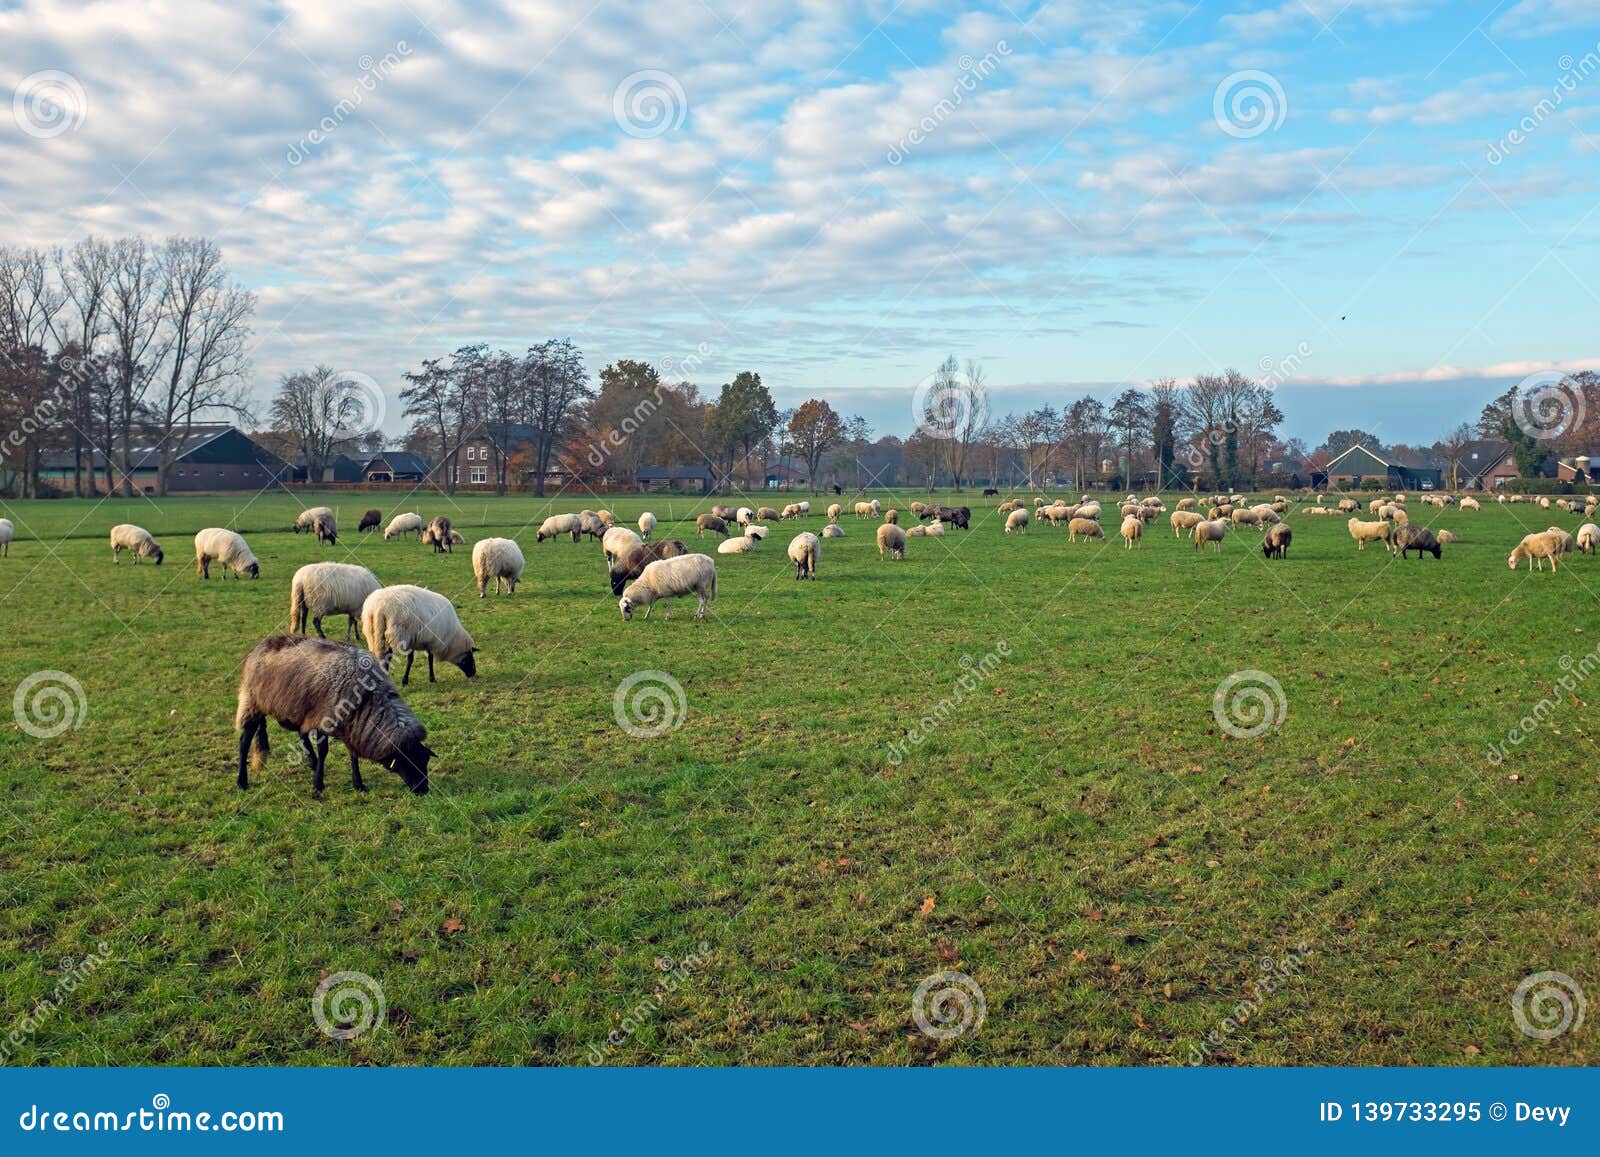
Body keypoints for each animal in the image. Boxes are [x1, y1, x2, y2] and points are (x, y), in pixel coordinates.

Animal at [235, 635, 435, 795]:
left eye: (425, 761)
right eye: (410, 761)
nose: (424, 790)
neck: (367, 697)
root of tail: (259, 646)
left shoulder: (351, 725)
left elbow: (353, 755)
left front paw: (358, 784)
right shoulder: (323, 719)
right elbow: (324, 751)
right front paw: (318, 785)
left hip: (296, 709)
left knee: (301, 734)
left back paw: (312, 762)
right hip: (252, 705)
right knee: (244, 742)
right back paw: (242, 782)